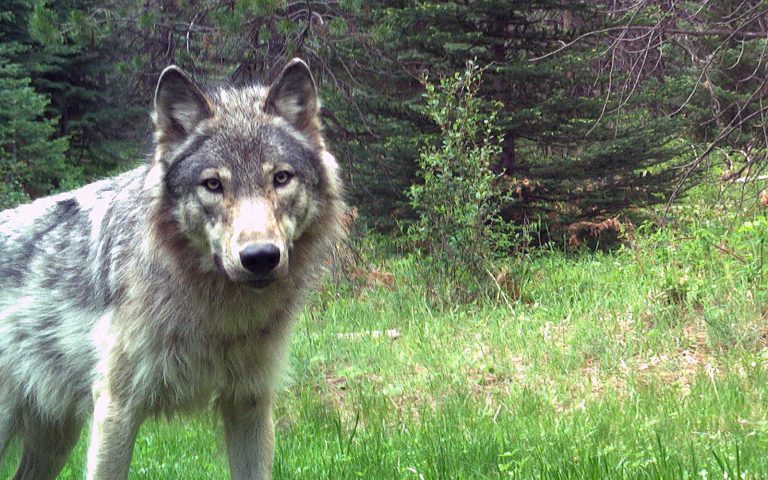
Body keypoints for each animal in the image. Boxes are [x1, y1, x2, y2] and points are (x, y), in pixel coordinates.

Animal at [0, 58, 344, 479]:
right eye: (212, 184)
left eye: (281, 178)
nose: (260, 256)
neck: (219, 315)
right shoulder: (117, 407)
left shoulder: (249, 401)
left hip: (55, 437)